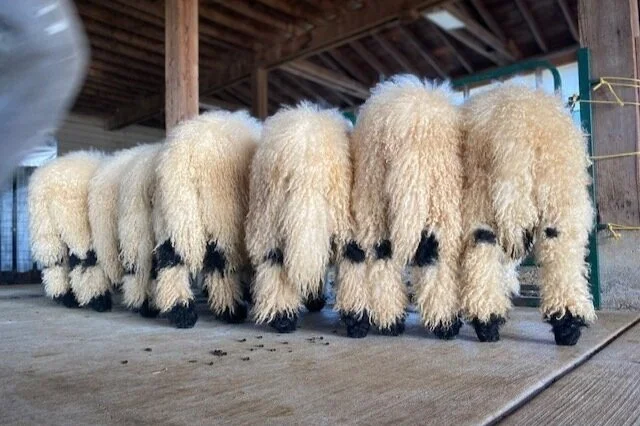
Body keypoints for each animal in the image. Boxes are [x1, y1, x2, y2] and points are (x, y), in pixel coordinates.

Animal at [28, 150, 110, 311]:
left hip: (44, 224)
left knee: (55, 261)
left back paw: (65, 296)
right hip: (76, 222)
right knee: (84, 260)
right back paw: (98, 300)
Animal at [154, 110, 260, 328]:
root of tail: (183, 153)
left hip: (175, 213)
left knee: (171, 257)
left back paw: (181, 311)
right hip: (220, 214)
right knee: (219, 260)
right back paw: (230, 310)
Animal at [336, 75, 463, 339]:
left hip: (371, 194)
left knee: (377, 252)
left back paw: (381, 321)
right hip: (439, 201)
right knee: (435, 255)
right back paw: (444, 325)